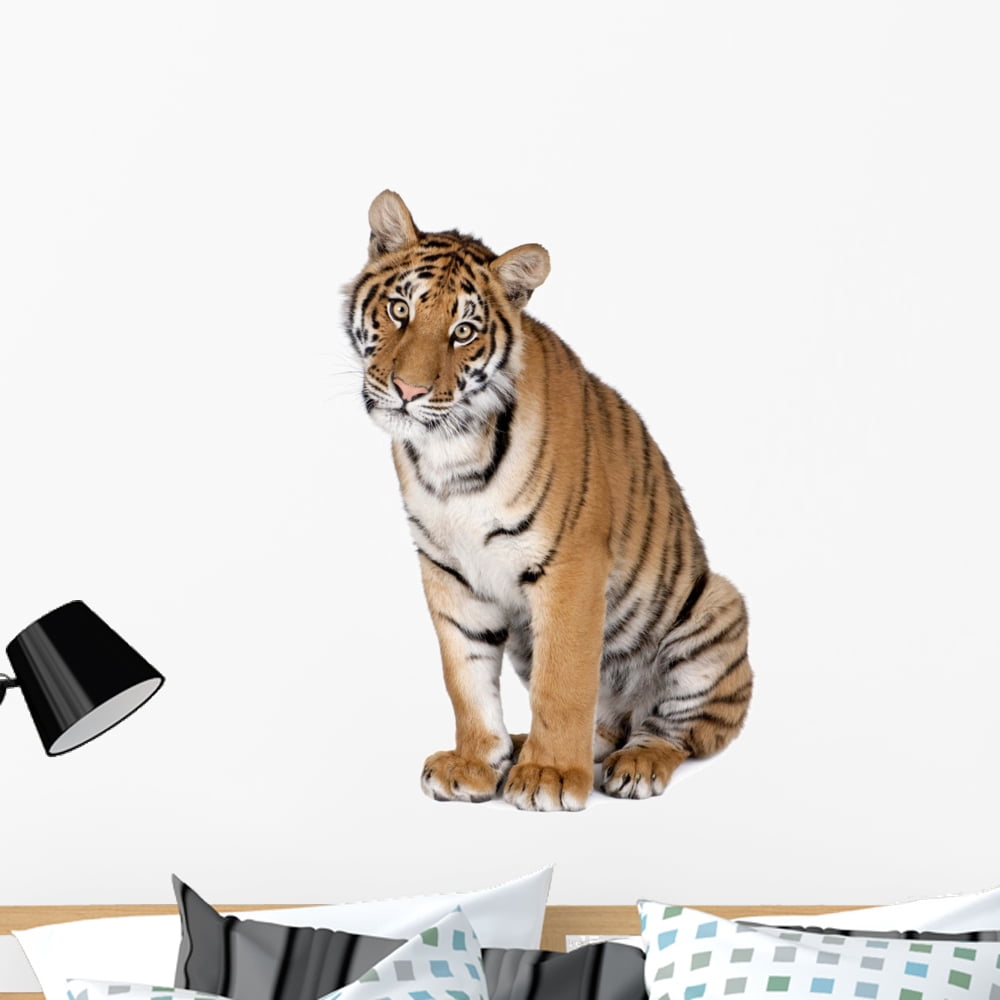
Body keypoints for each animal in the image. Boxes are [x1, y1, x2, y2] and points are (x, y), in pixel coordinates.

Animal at [344, 190, 753, 811]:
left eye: (463, 331)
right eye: (399, 310)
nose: (408, 391)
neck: (449, 454)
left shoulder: (571, 566)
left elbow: (562, 684)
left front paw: (551, 776)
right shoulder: (448, 571)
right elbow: (465, 678)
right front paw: (475, 763)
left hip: (715, 611)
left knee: (675, 731)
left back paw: (632, 764)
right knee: (606, 726)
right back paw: (523, 746)